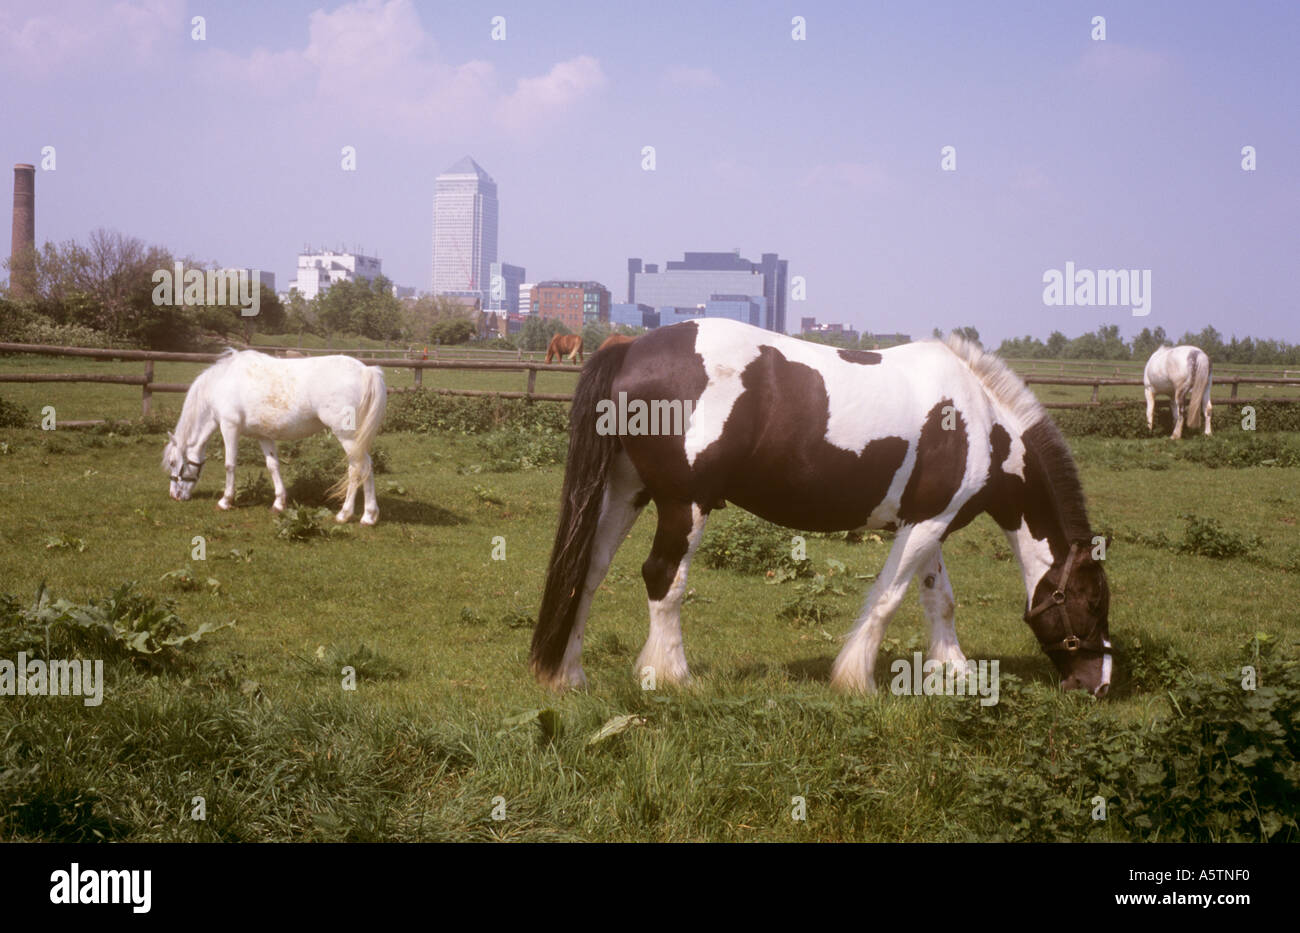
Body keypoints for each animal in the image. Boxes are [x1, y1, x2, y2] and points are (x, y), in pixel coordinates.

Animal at [162, 349, 387, 524]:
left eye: (173, 462)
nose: (173, 496)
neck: (222, 382)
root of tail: (366, 370)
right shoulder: (264, 435)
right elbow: (273, 466)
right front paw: (278, 503)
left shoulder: (229, 427)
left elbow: (229, 465)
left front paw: (225, 501)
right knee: (366, 467)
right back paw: (369, 516)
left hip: (347, 437)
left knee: (357, 468)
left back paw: (346, 514)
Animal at [531, 319, 1112, 696]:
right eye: (1092, 602)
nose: (1099, 686)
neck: (980, 419)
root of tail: (629, 349)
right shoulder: (927, 523)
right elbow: (888, 598)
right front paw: (857, 680)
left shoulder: (928, 522)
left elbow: (939, 599)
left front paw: (957, 672)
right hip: (682, 503)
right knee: (662, 578)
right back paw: (673, 677)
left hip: (626, 491)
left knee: (589, 571)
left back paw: (569, 675)